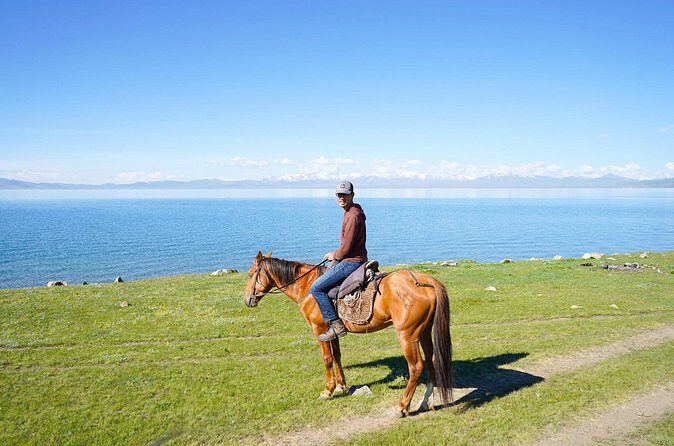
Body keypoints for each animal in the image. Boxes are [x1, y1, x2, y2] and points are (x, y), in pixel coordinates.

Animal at [243, 251, 453, 417]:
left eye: (252, 273)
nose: (247, 300)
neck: (307, 287)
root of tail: (425, 281)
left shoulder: (319, 330)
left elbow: (327, 358)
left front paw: (328, 390)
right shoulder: (332, 331)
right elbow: (337, 355)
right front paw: (341, 386)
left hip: (407, 335)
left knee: (416, 367)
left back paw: (402, 406)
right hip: (424, 332)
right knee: (432, 361)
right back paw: (425, 401)